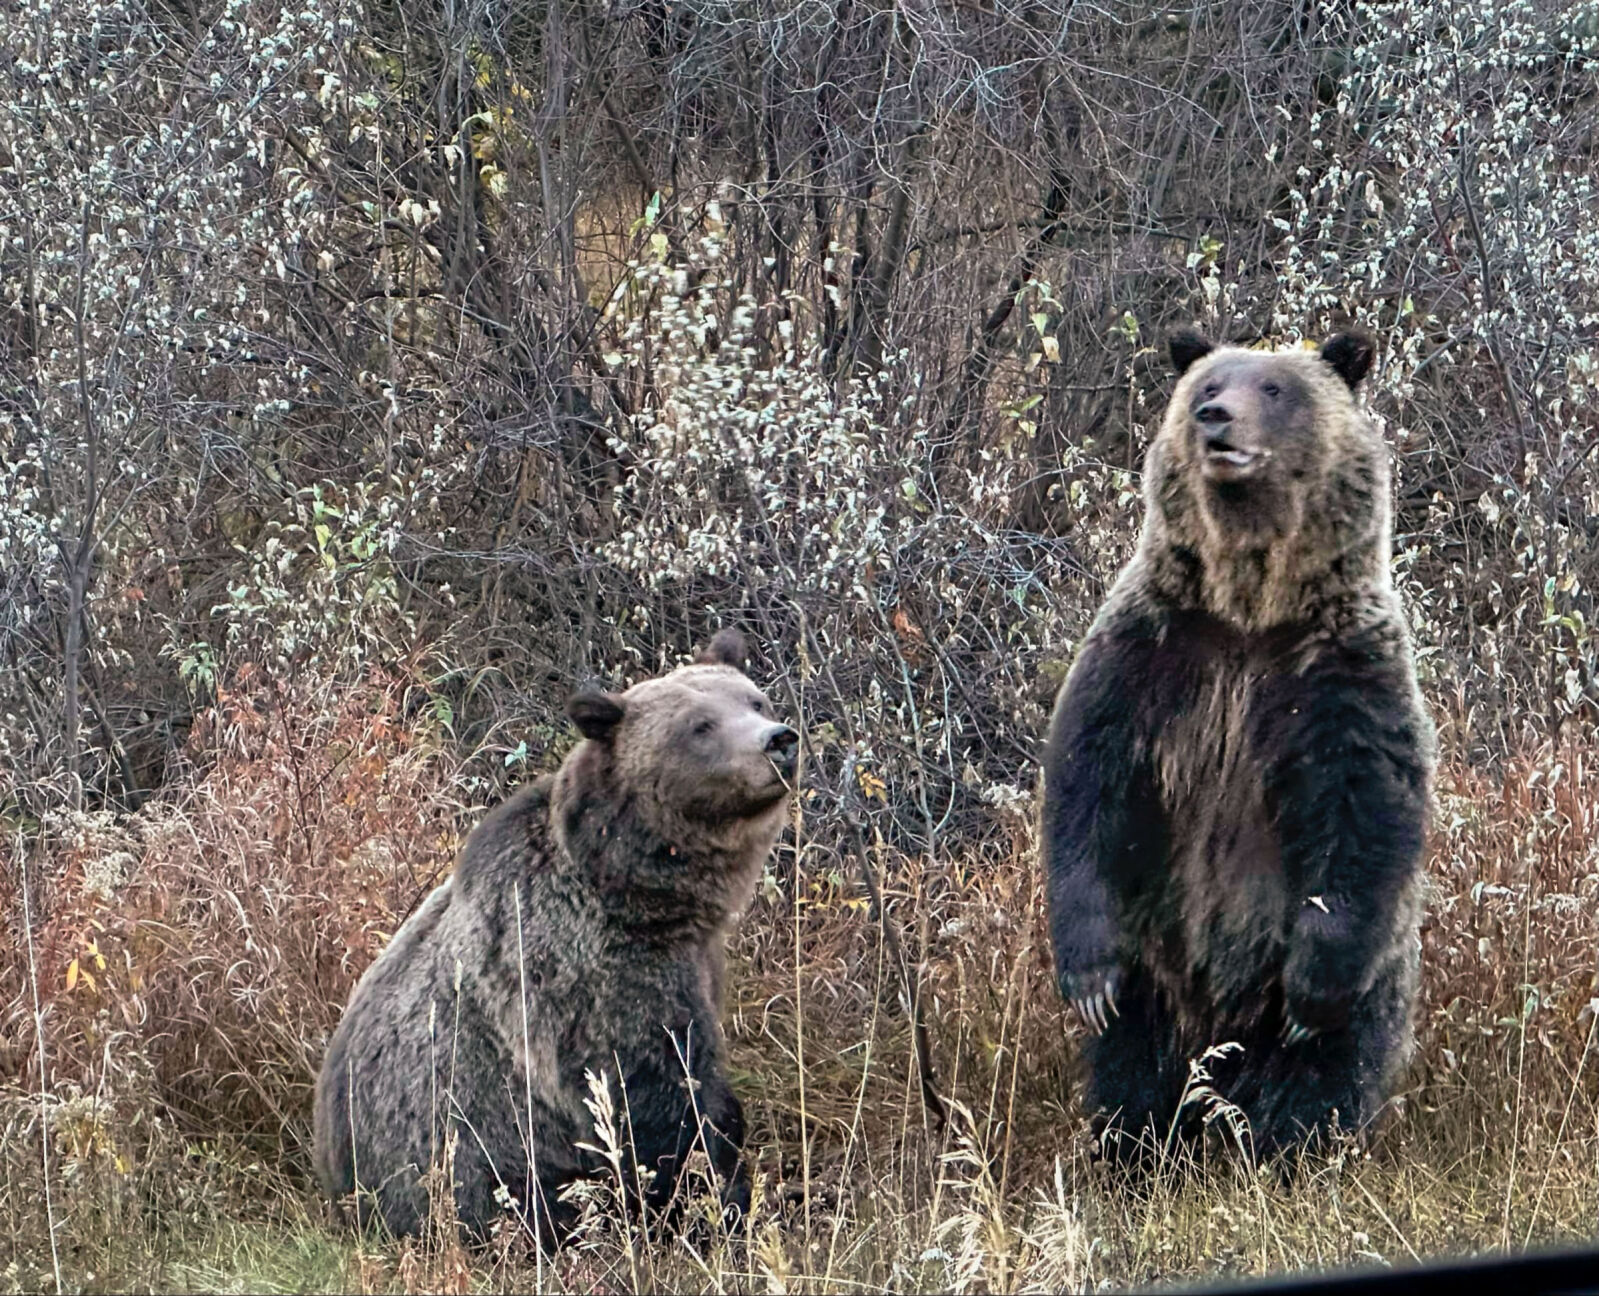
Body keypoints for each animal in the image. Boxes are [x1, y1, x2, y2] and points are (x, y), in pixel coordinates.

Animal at [312, 629, 799, 1243]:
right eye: (700, 726)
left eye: (756, 700)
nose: (779, 740)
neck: (643, 894)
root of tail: (337, 1180)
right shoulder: (594, 974)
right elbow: (663, 1102)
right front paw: (729, 1203)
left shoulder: (695, 959)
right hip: (468, 1169)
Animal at [1041, 328, 1435, 1165]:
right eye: (1206, 383)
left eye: (1275, 388)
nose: (1214, 417)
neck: (1249, 609)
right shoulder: (1151, 652)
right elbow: (1085, 782)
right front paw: (1086, 977)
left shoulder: (1338, 672)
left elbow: (1367, 806)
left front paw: (1310, 993)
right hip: (1156, 968)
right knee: (1131, 1069)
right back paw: (1127, 1153)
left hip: (1357, 992)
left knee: (1320, 1078)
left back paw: (1290, 1154)